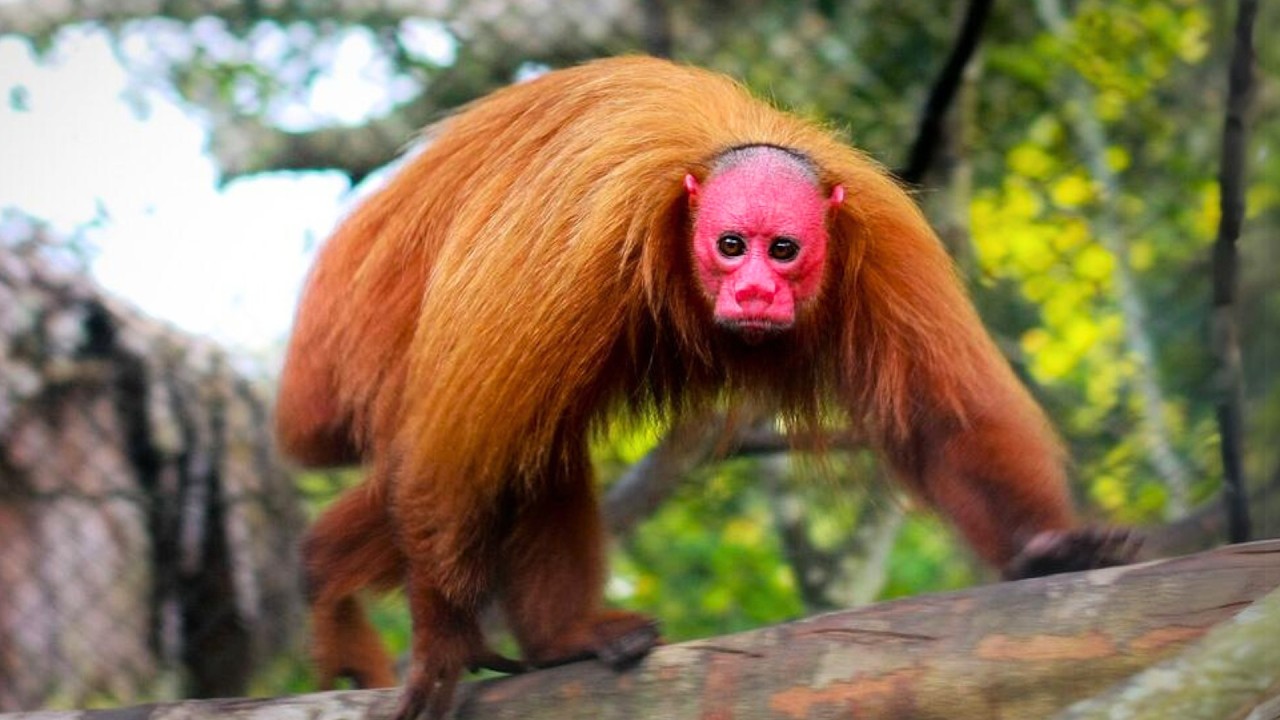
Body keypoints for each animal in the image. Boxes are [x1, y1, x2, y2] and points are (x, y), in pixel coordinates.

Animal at [276, 56, 1136, 719]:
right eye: (730, 246)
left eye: (782, 250)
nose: (755, 290)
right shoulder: (569, 249)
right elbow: (454, 455)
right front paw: (442, 647)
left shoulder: (882, 241)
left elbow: (943, 422)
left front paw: (1044, 551)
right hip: (366, 347)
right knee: (480, 441)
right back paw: (324, 578)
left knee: (537, 445)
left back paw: (554, 638)